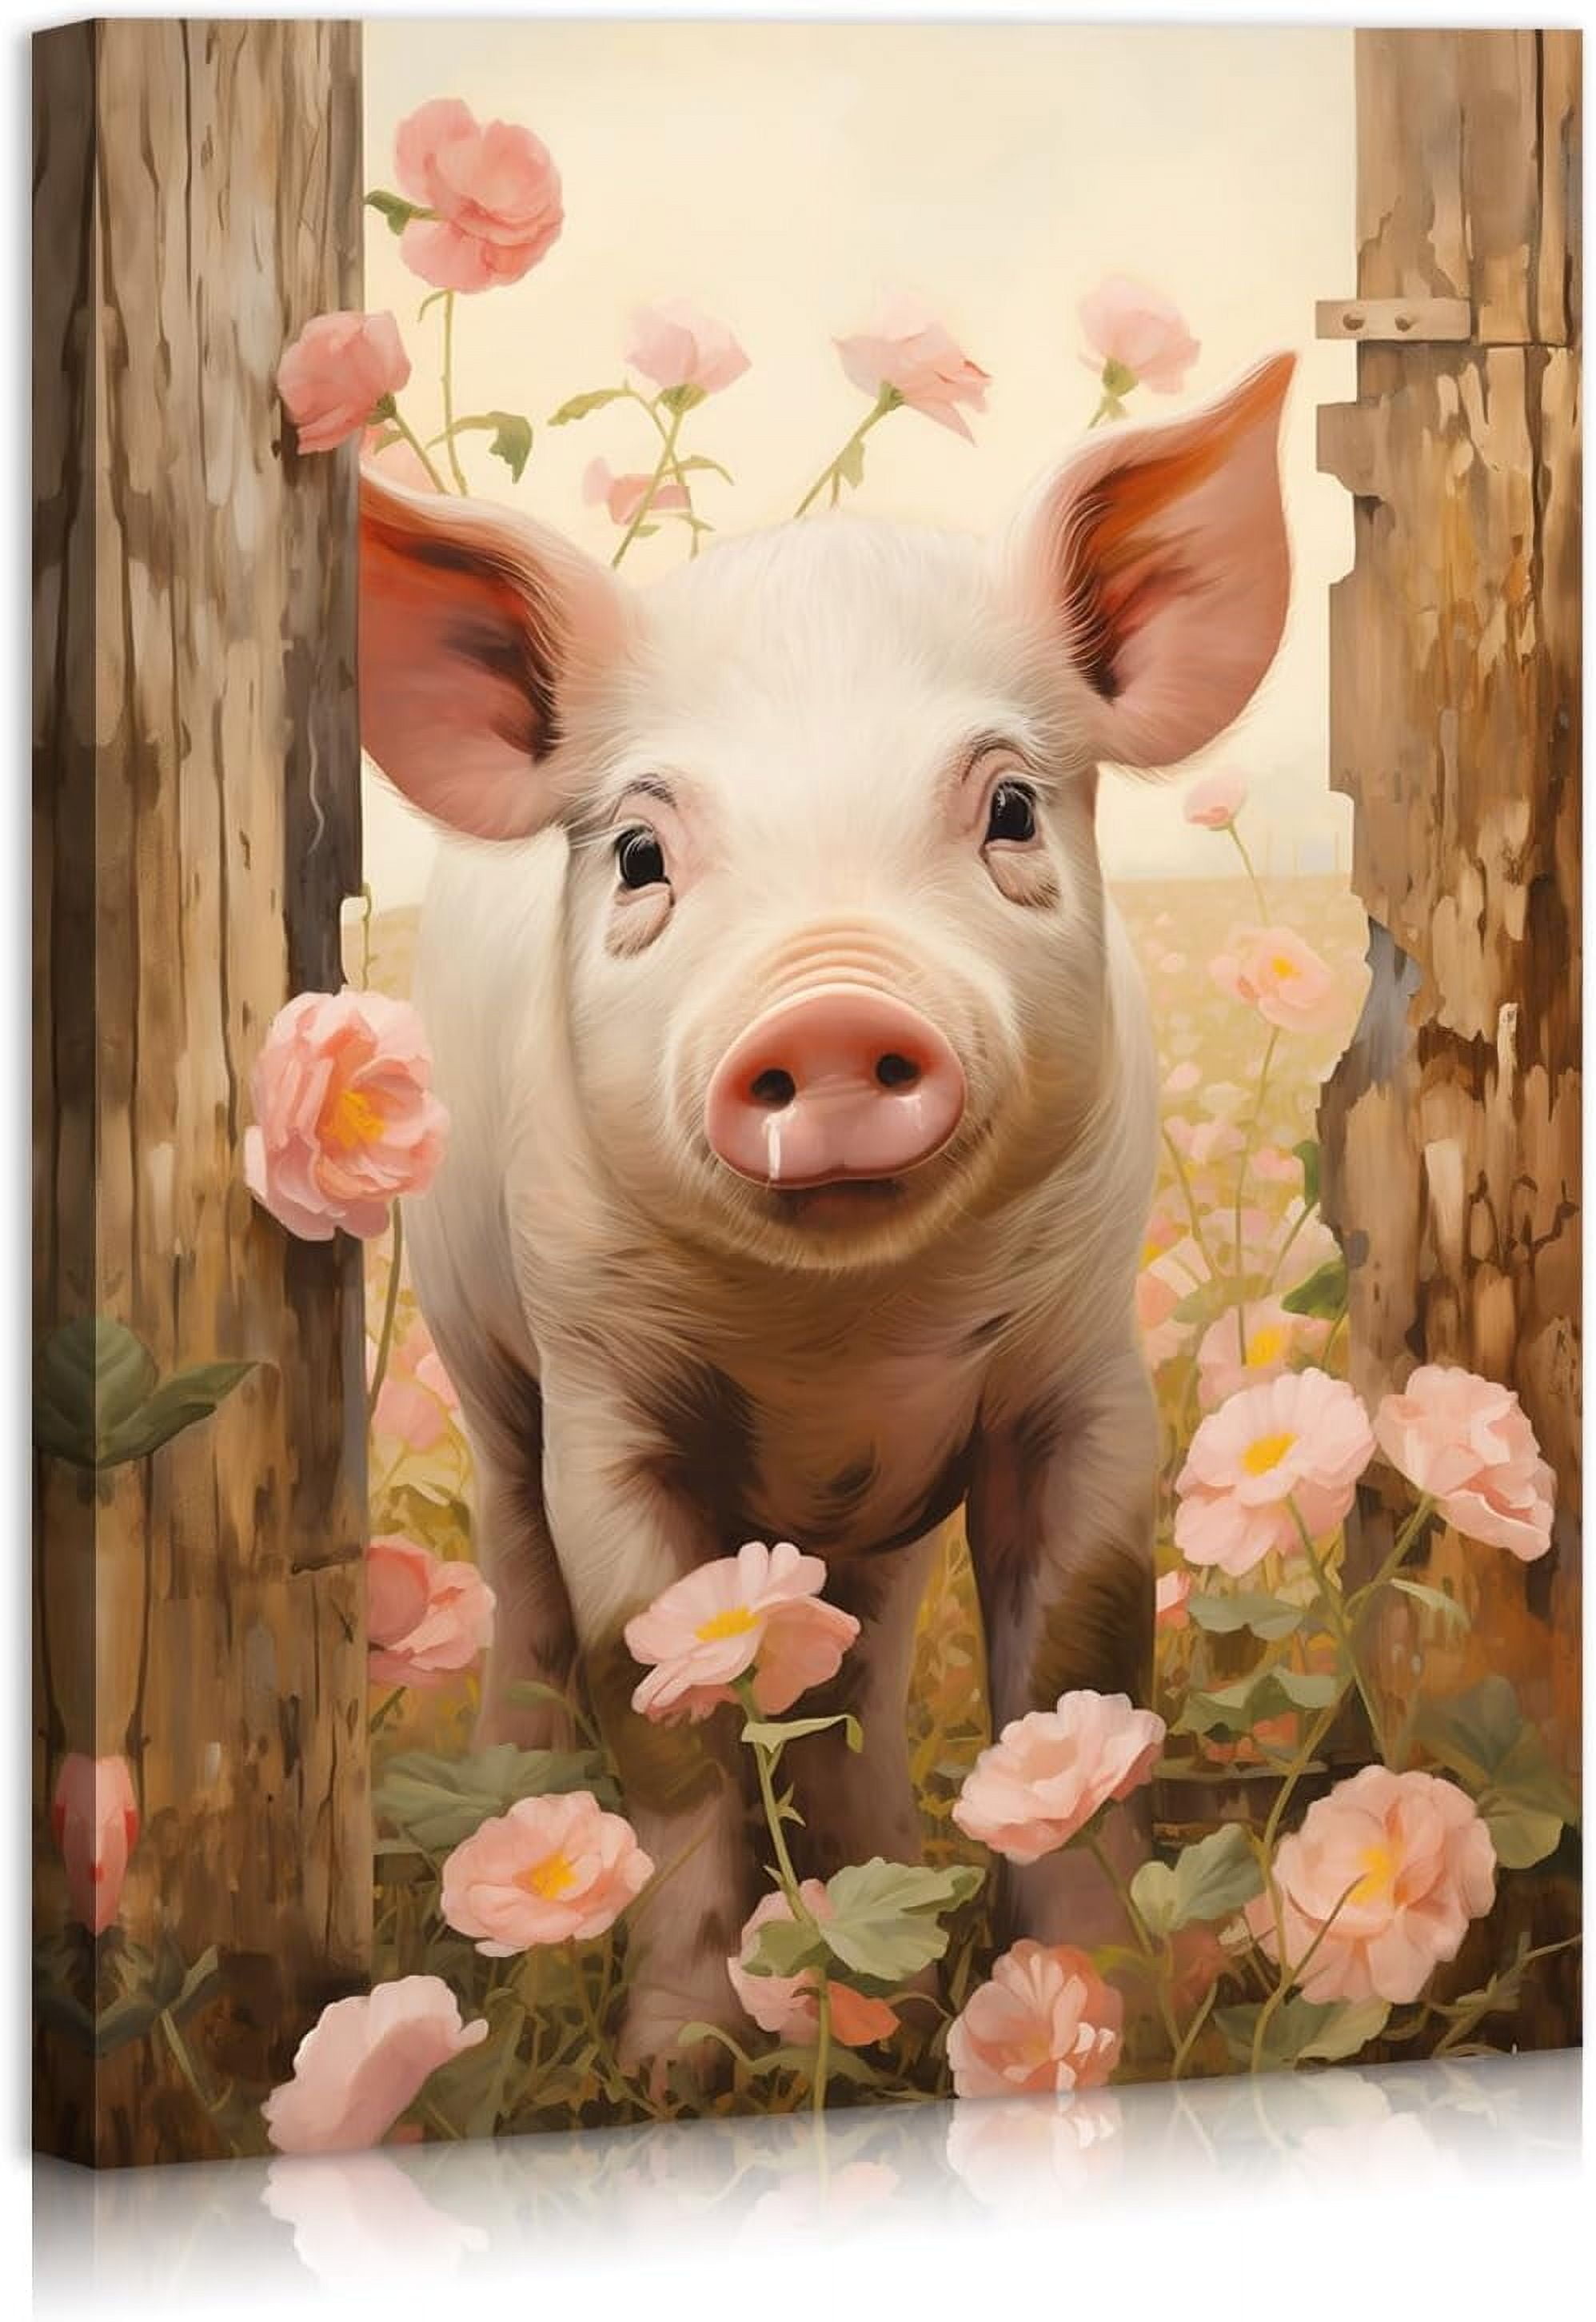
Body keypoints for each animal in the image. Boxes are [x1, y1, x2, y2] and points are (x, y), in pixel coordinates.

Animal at [357, 353, 1295, 2067]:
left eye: (1009, 809)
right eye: (641, 850)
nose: (833, 1004)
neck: (838, 1333)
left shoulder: (1079, 1377)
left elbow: (1080, 1678)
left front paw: (1098, 2027)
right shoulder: (605, 1397)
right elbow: (660, 1709)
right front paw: (676, 2056)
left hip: (879, 1523)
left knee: (861, 1649)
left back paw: (892, 1953)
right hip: (480, 1359)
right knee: (525, 1582)